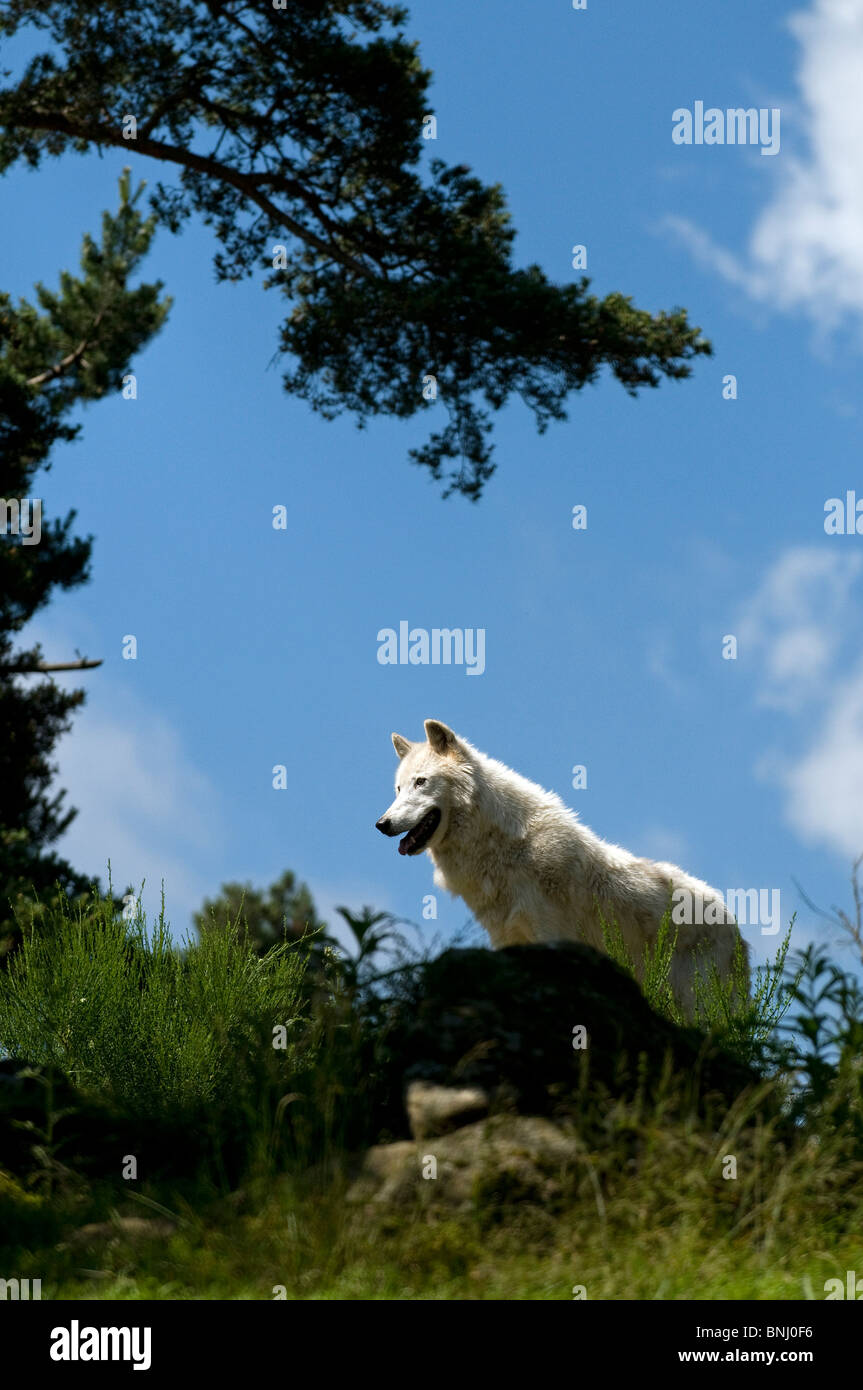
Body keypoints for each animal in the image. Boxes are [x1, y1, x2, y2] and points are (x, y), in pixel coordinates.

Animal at [376, 720, 749, 1018]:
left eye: (421, 782)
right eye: (398, 788)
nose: (382, 824)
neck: (503, 849)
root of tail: (734, 924)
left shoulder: (551, 939)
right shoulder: (507, 940)